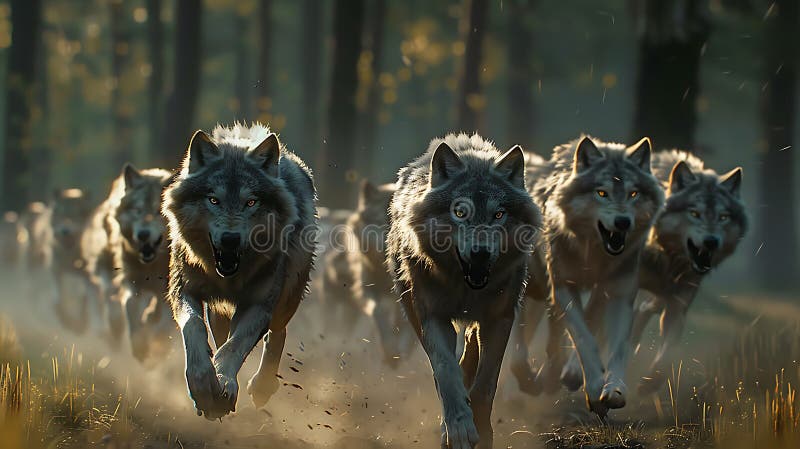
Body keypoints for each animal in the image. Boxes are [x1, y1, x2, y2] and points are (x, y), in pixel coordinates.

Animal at [163, 123, 316, 420]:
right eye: (213, 200)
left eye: (251, 203)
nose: (230, 239)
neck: (229, 279)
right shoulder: (183, 290)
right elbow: (194, 328)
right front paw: (204, 386)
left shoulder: (259, 305)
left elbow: (235, 346)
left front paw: (222, 384)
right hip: (219, 310)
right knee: (220, 333)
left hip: (287, 297)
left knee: (277, 332)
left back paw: (263, 385)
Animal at [387, 133, 540, 449]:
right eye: (460, 212)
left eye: (498, 214)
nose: (480, 253)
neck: (465, 288)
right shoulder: (433, 316)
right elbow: (446, 371)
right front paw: (457, 429)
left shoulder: (500, 319)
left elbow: (486, 383)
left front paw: (482, 430)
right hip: (412, 310)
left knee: (470, 343)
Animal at [523, 136, 663, 415]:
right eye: (602, 193)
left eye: (633, 193)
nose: (622, 222)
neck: (593, 255)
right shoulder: (563, 288)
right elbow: (584, 337)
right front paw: (596, 389)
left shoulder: (619, 293)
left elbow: (617, 346)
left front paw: (614, 390)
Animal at [630, 151, 746, 394]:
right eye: (694, 213)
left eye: (723, 217)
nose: (711, 241)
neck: (668, 261)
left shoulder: (678, 307)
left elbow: (666, 358)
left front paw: (648, 384)